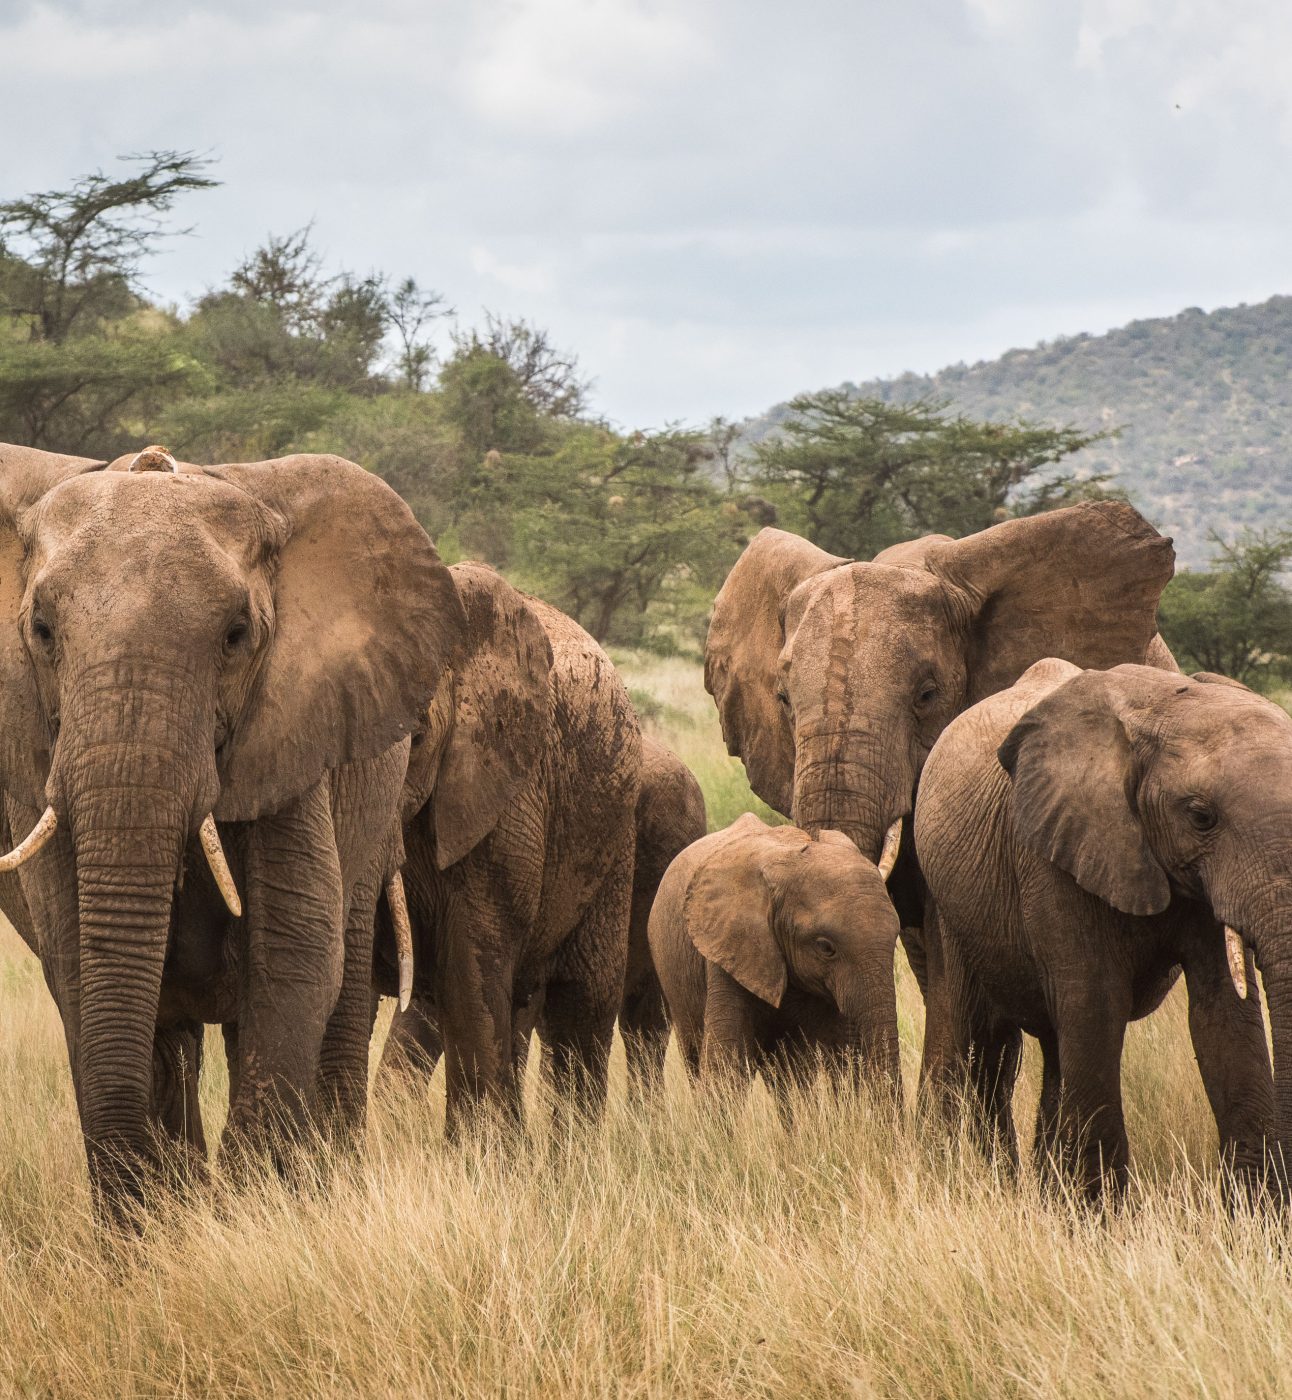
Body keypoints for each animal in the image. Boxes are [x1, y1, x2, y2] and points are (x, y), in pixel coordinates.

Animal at [0, 442, 461, 1222]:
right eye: (41, 631)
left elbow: (295, 954)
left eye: (236, 637)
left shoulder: (293, 733)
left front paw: (251, 1211)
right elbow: (78, 960)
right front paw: (151, 1230)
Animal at [372, 563, 642, 1130]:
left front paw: (478, 1149)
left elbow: (470, 963)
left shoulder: (511, 788)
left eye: (419, 736)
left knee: (580, 1006)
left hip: (613, 837)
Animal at [914, 658, 1289, 1199]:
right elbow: (1095, 1005)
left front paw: (1254, 1212)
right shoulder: (1051, 852)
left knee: (1054, 1047)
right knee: (975, 1037)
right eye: (1201, 817)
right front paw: (1096, 1213)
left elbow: (1223, 1012)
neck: (1164, 709)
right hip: (947, 897)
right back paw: (980, 1178)